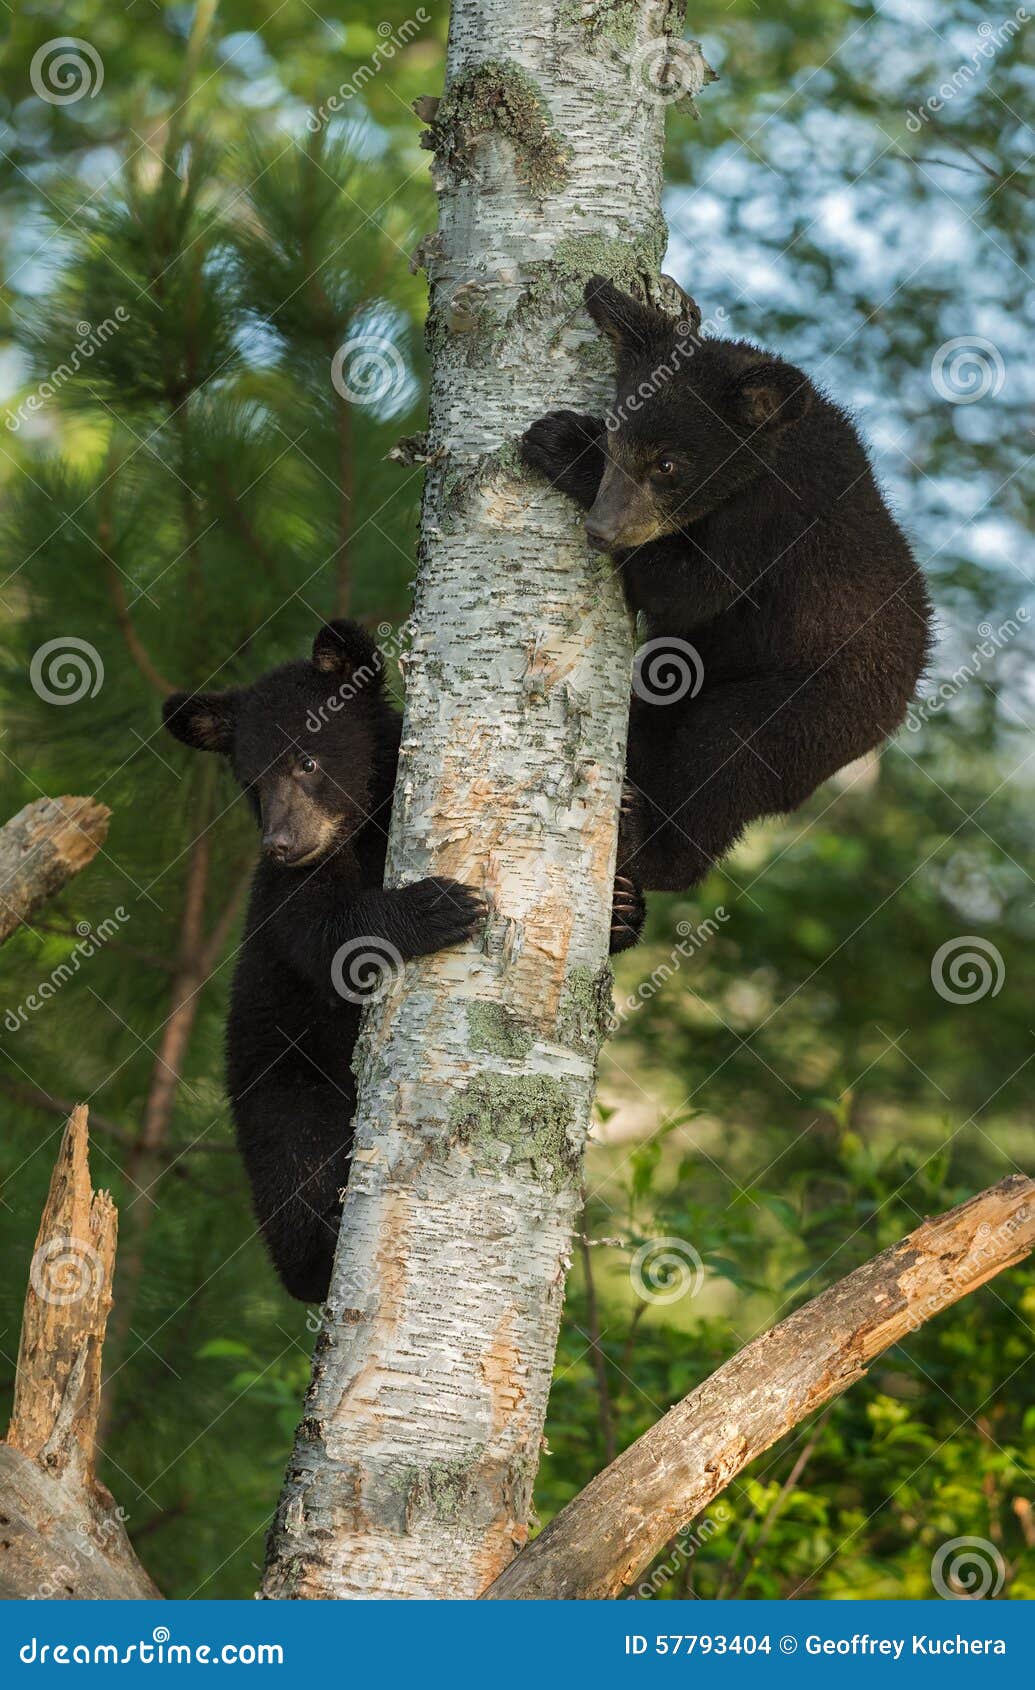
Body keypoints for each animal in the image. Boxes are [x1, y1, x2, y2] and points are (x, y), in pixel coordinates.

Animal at [162, 620, 484, 1302]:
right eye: (252, 781)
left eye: (306, 761)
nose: (280, 843)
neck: (362, 833)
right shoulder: (282, 896)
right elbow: (328, 939)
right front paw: (435, 906)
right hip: (287, 1098)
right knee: (300, 1179)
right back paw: (320, 1250)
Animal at [521, 275, 932, 918]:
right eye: (618, 436)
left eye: (667, 463)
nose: (600, 531)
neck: (773, 453)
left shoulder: (774, 516)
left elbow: (694, 588)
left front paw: (563, 444)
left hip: (821, 705)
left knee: (729, 752)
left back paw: (646, 850)